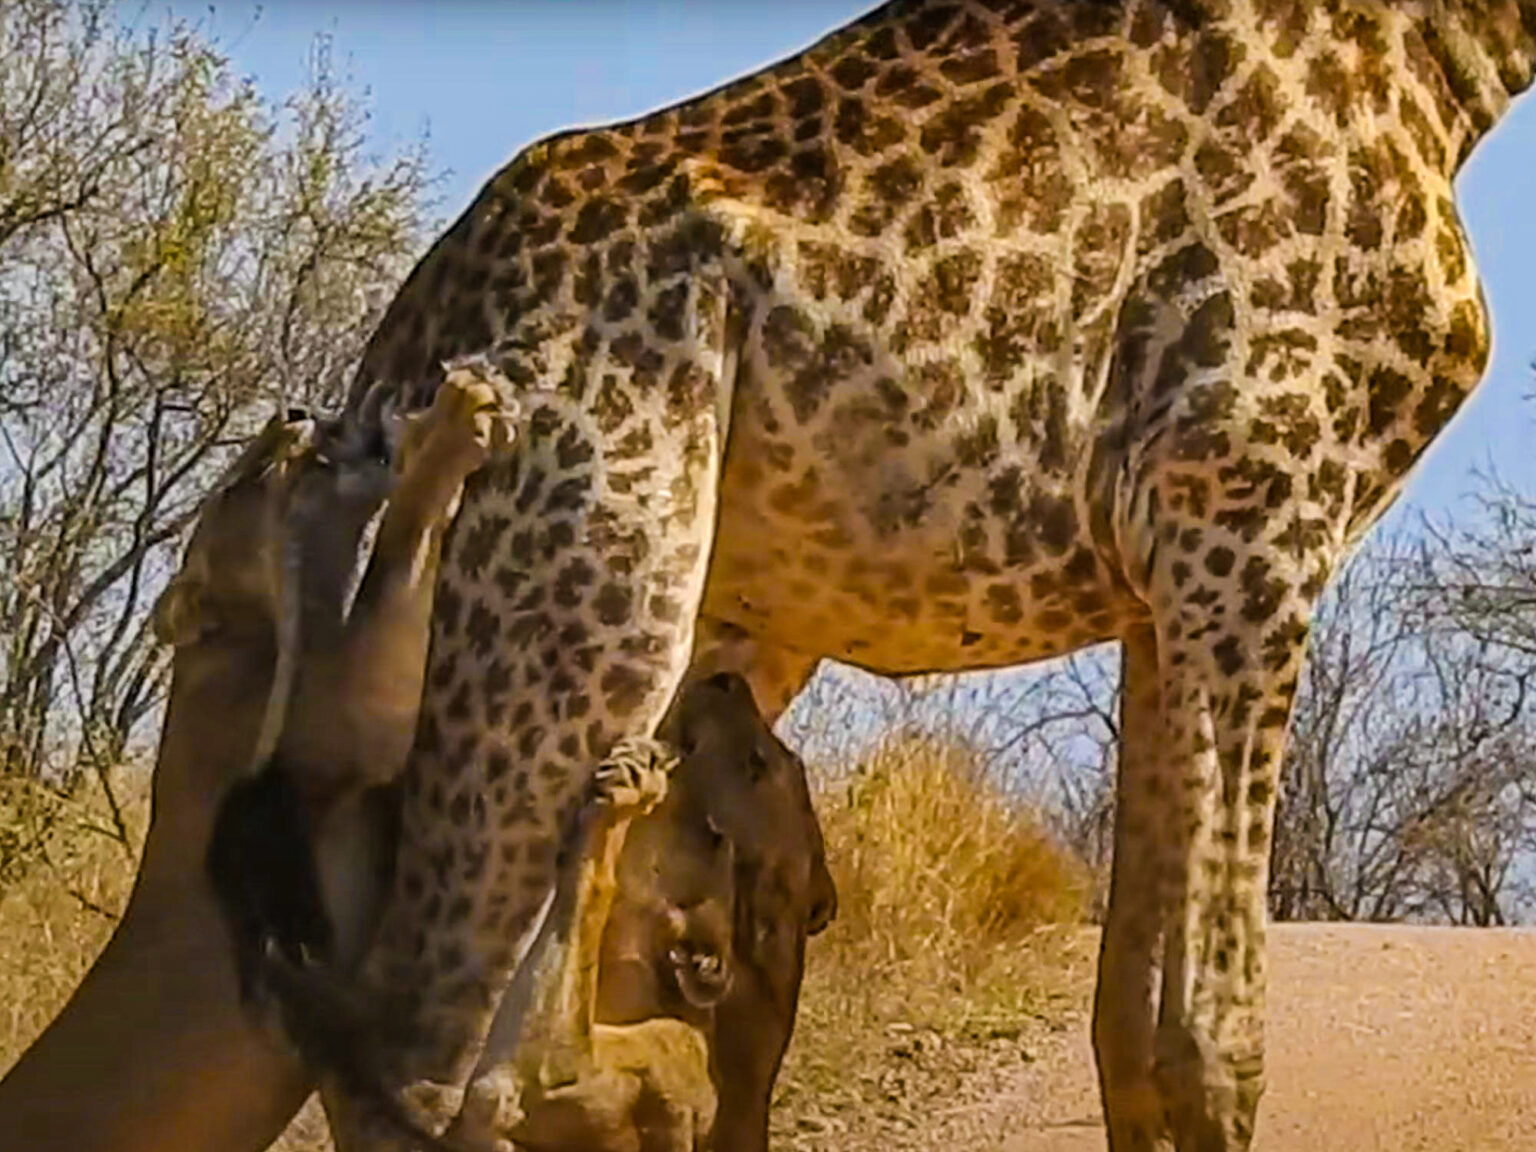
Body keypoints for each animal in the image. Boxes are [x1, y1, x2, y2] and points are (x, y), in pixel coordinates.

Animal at [319, 2, 1530, 1149]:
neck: (1454, 58)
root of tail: (394, 372)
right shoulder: (1248, 512)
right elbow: (1213, 1042)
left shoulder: (1162, 587)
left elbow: (1126, 1028)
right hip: (595, 603)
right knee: (422, 1053)